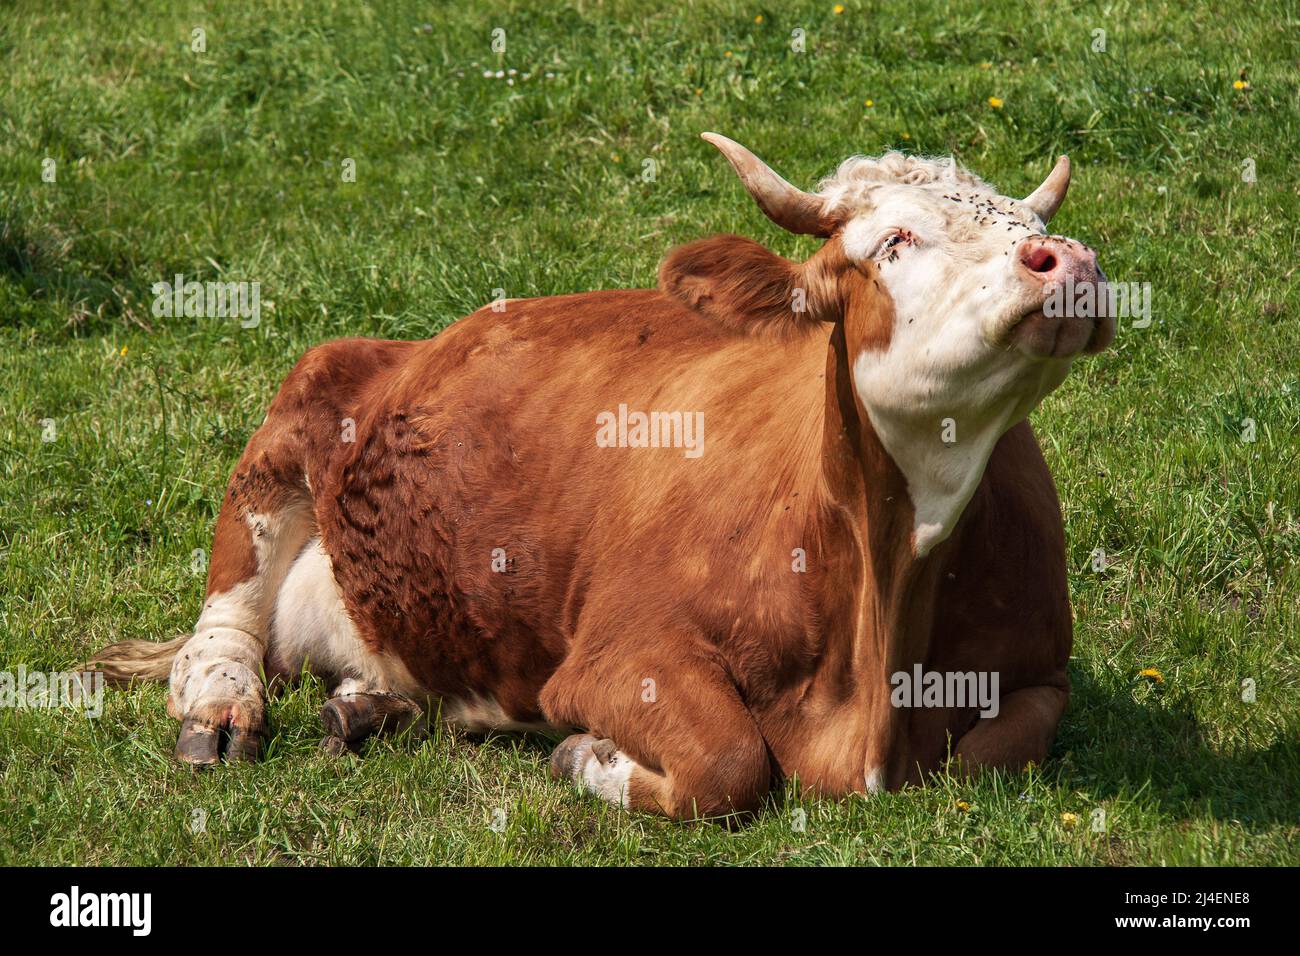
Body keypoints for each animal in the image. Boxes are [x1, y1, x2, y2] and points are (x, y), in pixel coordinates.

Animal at [91, 133, 1113, 820]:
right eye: (895, 241)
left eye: (1032, 222)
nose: (1069, 260)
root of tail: (415, 341)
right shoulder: (622, 654)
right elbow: (728, 763)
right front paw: (587, 757)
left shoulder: (1044, 671)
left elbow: (989, 756)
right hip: (304, 400)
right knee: (229, 612)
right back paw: (221, 710)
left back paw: (369, 706)